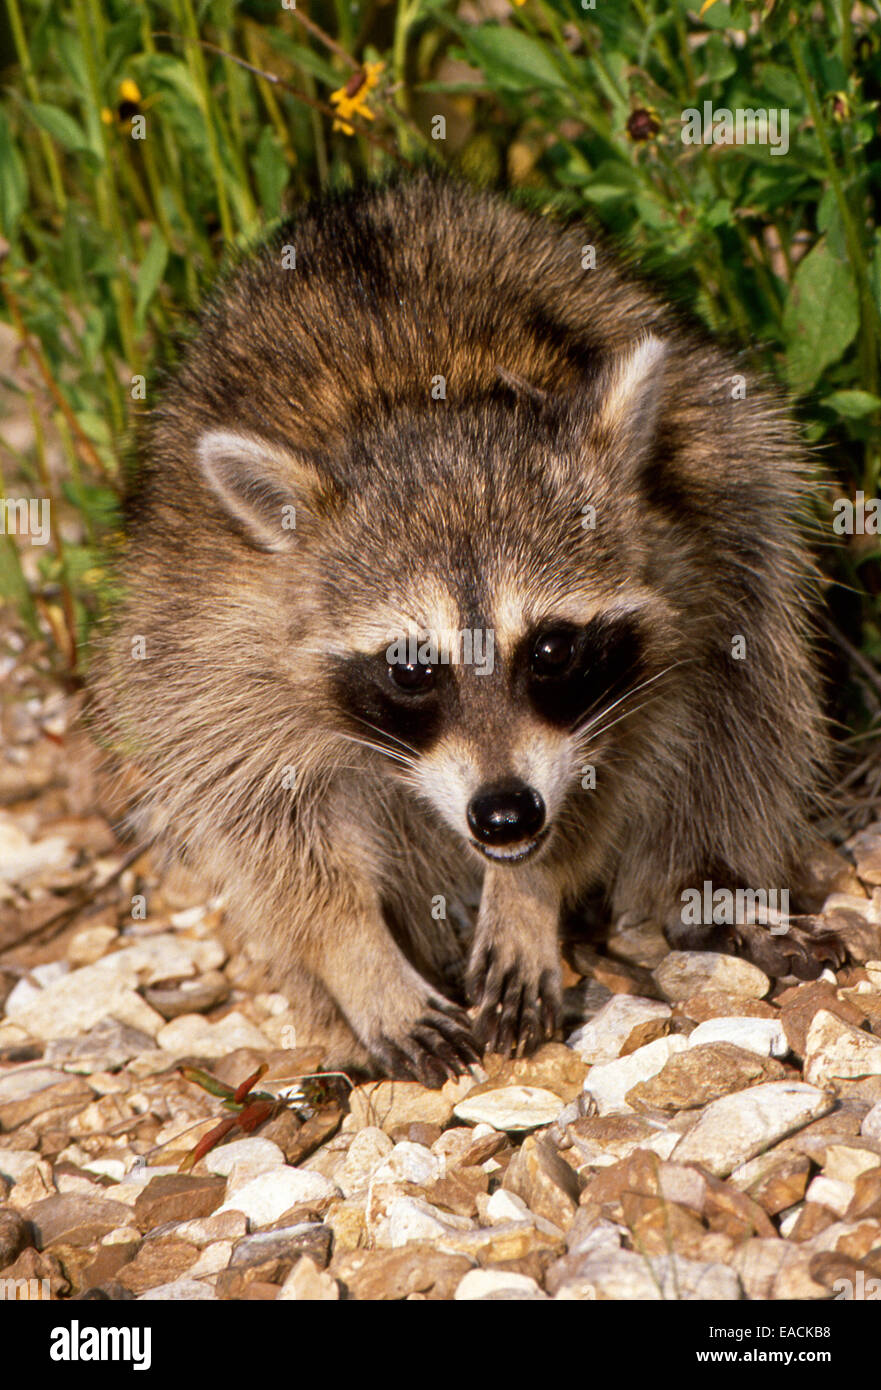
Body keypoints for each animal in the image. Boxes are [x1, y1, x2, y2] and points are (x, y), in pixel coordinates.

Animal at [92, 173, 843, 1085]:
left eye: (552, 649)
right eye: (411, 669)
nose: (506, 819)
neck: (422, 408)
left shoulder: (676, 594)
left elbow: (636, 747)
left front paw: (529, 893)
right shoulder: (212, 639)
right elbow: (269, 832)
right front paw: (357, 955)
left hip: (724, 456)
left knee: (749, 689)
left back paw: (706, 887)